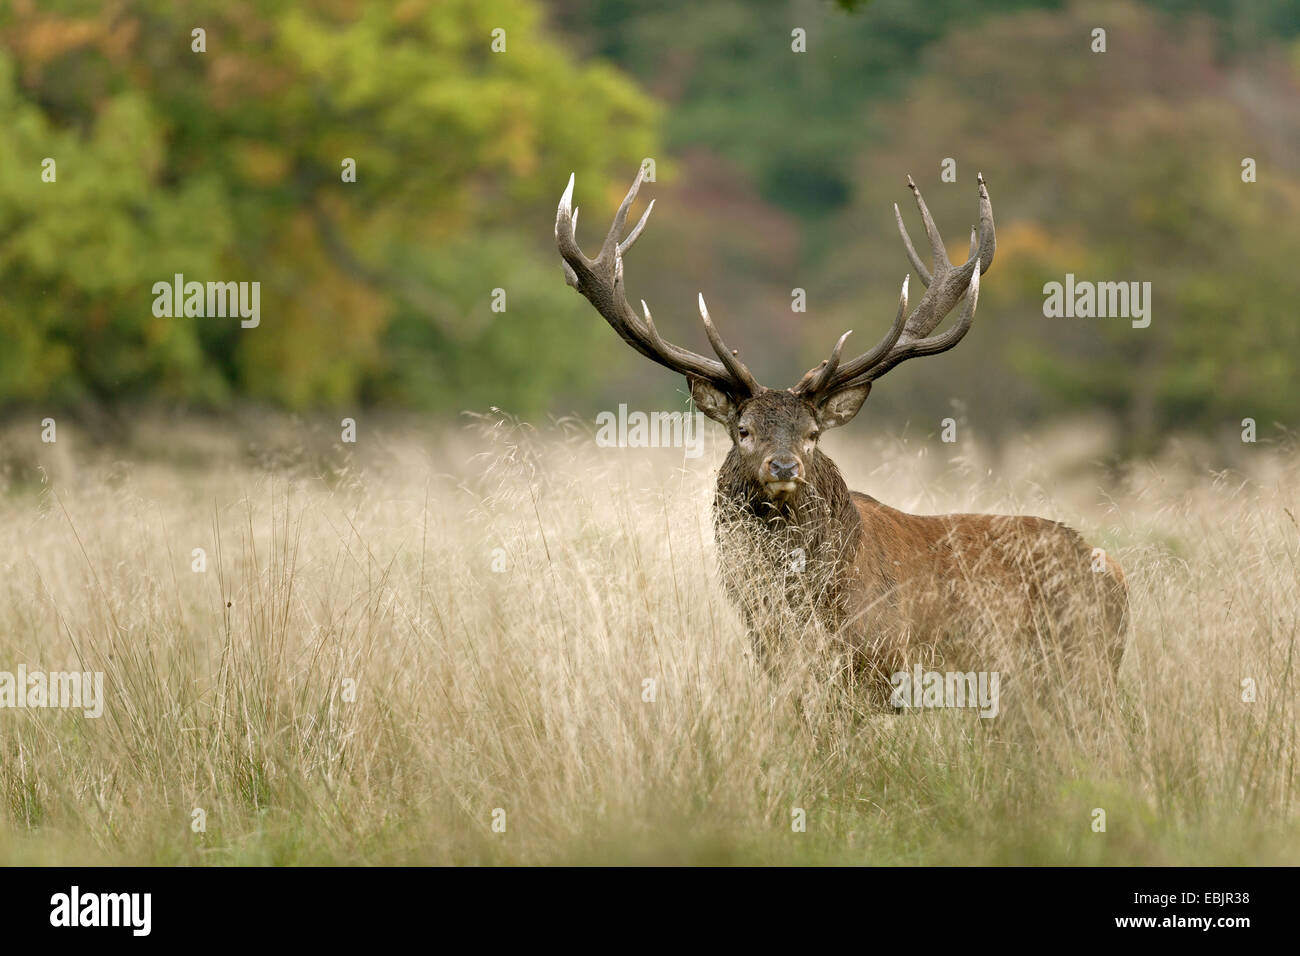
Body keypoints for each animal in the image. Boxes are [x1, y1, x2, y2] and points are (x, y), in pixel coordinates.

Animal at [556, 166, 1128, 705]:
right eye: (743, 430)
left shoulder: (876, 668)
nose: (784, 466)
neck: (800, 604)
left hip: (1088, 667)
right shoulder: (777, 662)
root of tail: (1114, 571)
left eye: (813, 434)